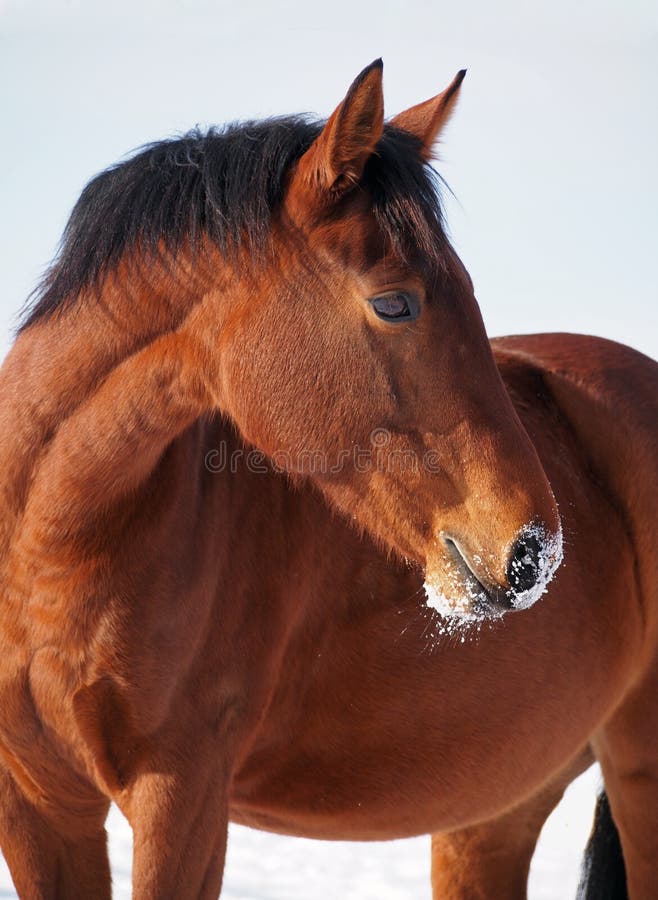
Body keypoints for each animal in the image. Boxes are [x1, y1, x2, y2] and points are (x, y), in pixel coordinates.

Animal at [0, 58, 655, 899]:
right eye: (394, 302)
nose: (533, 554)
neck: (54, 553)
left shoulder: (181, 795)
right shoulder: (40, 807)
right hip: (496, 809)